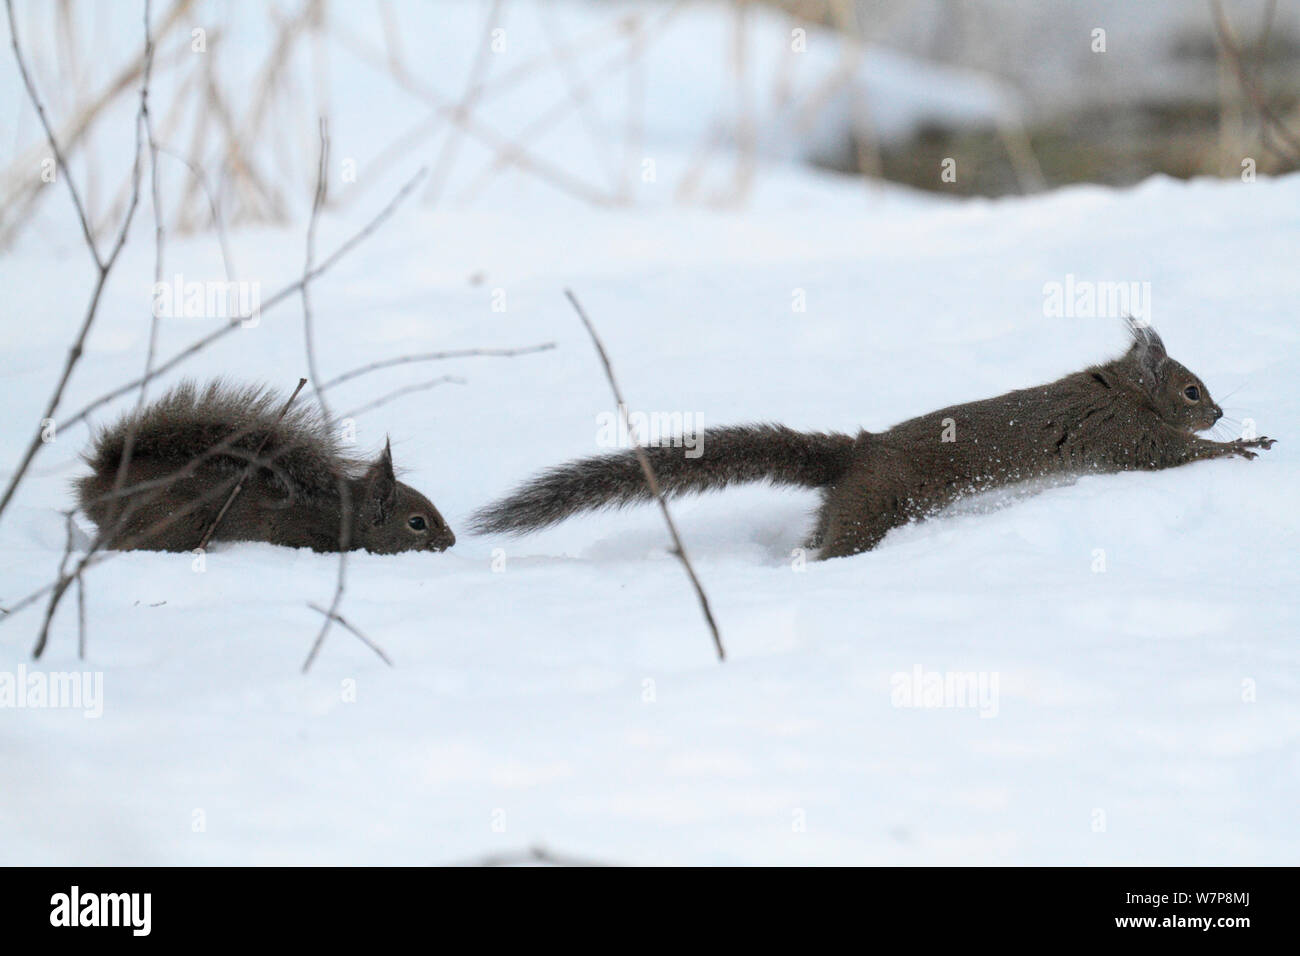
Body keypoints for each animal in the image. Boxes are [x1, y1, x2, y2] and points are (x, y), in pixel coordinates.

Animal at [471, 320, 1275, 559]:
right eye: (1192, 390)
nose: (1218, 411)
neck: (1123, 391)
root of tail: (858, 452)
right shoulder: (1127, 438)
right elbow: (1172, 458)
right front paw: (1242, 448)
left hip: (852, 505)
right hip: (877, 506)